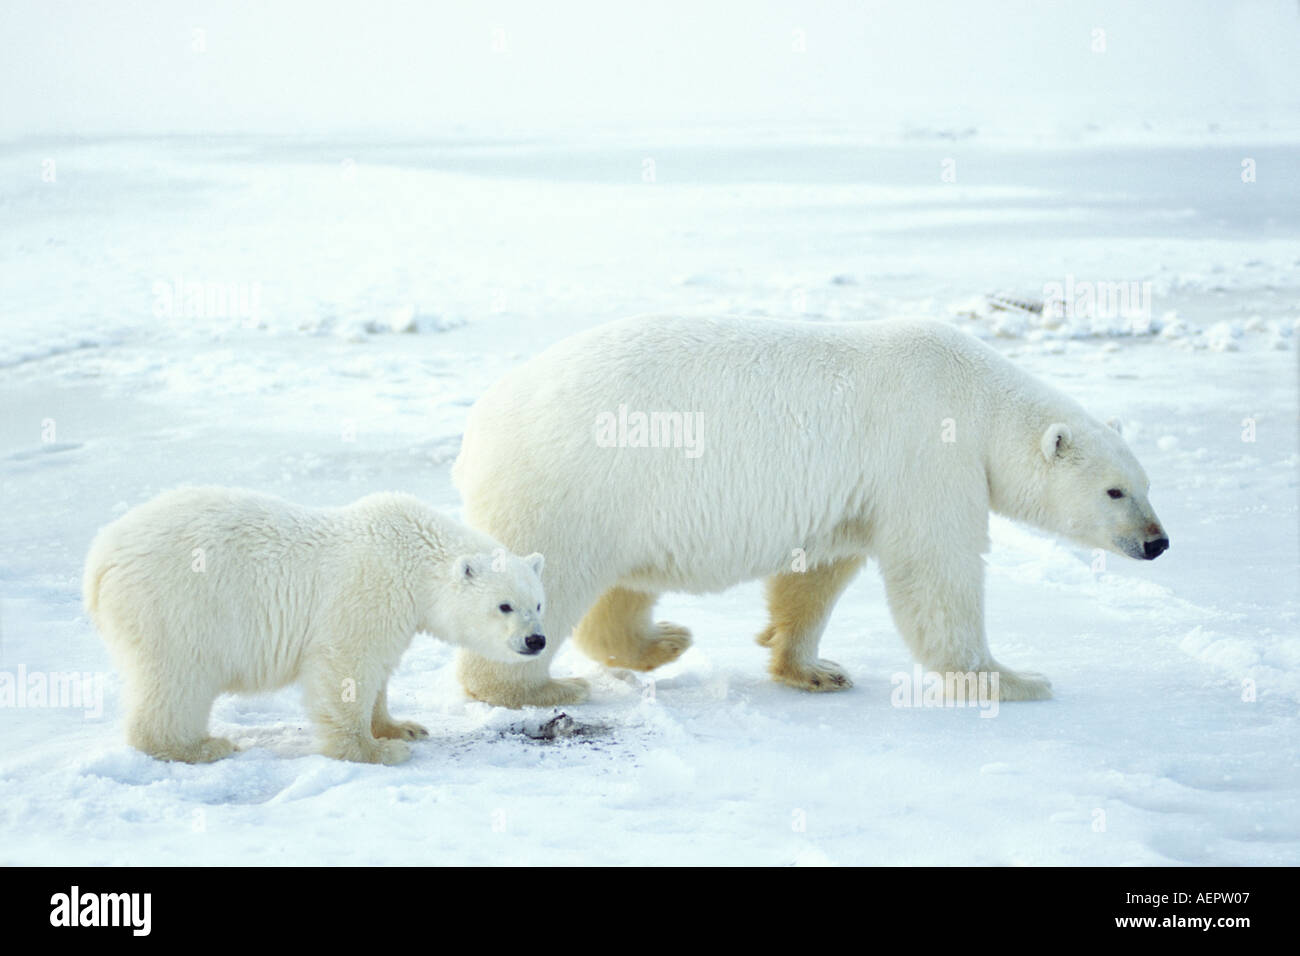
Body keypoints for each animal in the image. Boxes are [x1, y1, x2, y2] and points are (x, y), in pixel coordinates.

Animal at [83, 487, 547, 764]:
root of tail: (100, 557)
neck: (412, 555)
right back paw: (198, 746)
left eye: (539, 603)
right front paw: (377, 750)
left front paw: (403, 727)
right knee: (177, 680)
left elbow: (378, 671)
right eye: (505, 606)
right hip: (176, 607)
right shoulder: (367, 591)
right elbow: (347, 667)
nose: (536, 640)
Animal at [450, 315, 1169, 707]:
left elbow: (819, 571)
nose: (1157, 541)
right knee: (550, 582)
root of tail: (480, 423)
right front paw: (1016, 679)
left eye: (1147, 482)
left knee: (620, 587)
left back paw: (663, 641)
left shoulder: (855, 491)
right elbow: (937, 572)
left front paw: (812, 667)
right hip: (575, 483)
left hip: (619, 502)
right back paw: (536, 687)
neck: (976, 394)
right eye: (1115, 492)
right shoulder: (928, 456)